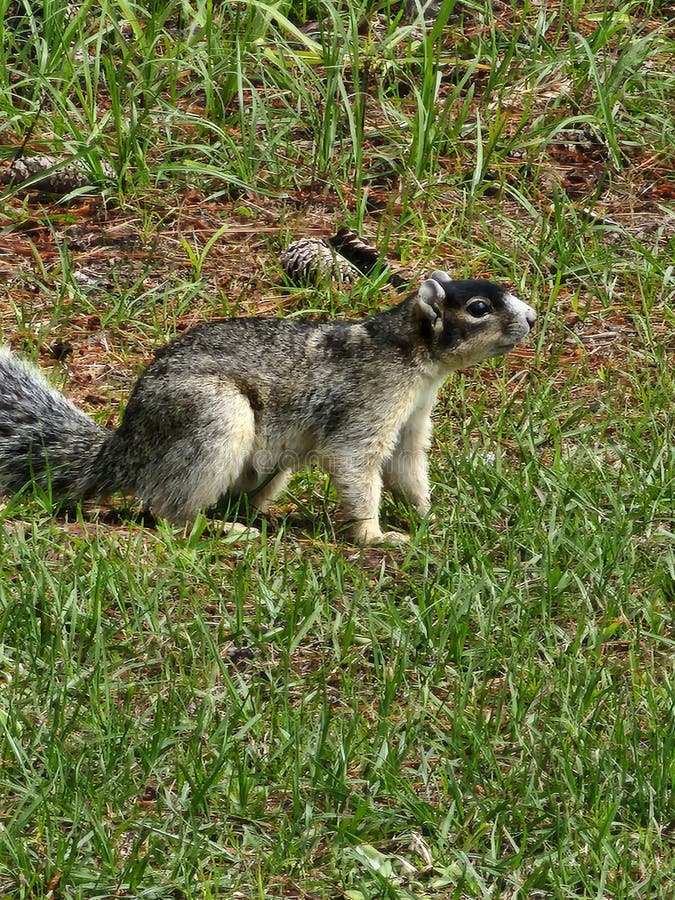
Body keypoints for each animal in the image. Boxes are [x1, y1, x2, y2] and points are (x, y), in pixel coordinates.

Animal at [0, 272, 536, 544]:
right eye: (479, 309)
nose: (532, 317)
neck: (412, 357)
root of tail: (127, 448)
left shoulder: (411, 422)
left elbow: (407, 468)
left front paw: (429, 517)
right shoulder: (368, 402)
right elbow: (354, 461)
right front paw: (375, 535)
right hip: (214, 417)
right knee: (167, 509)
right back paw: (222, 527)